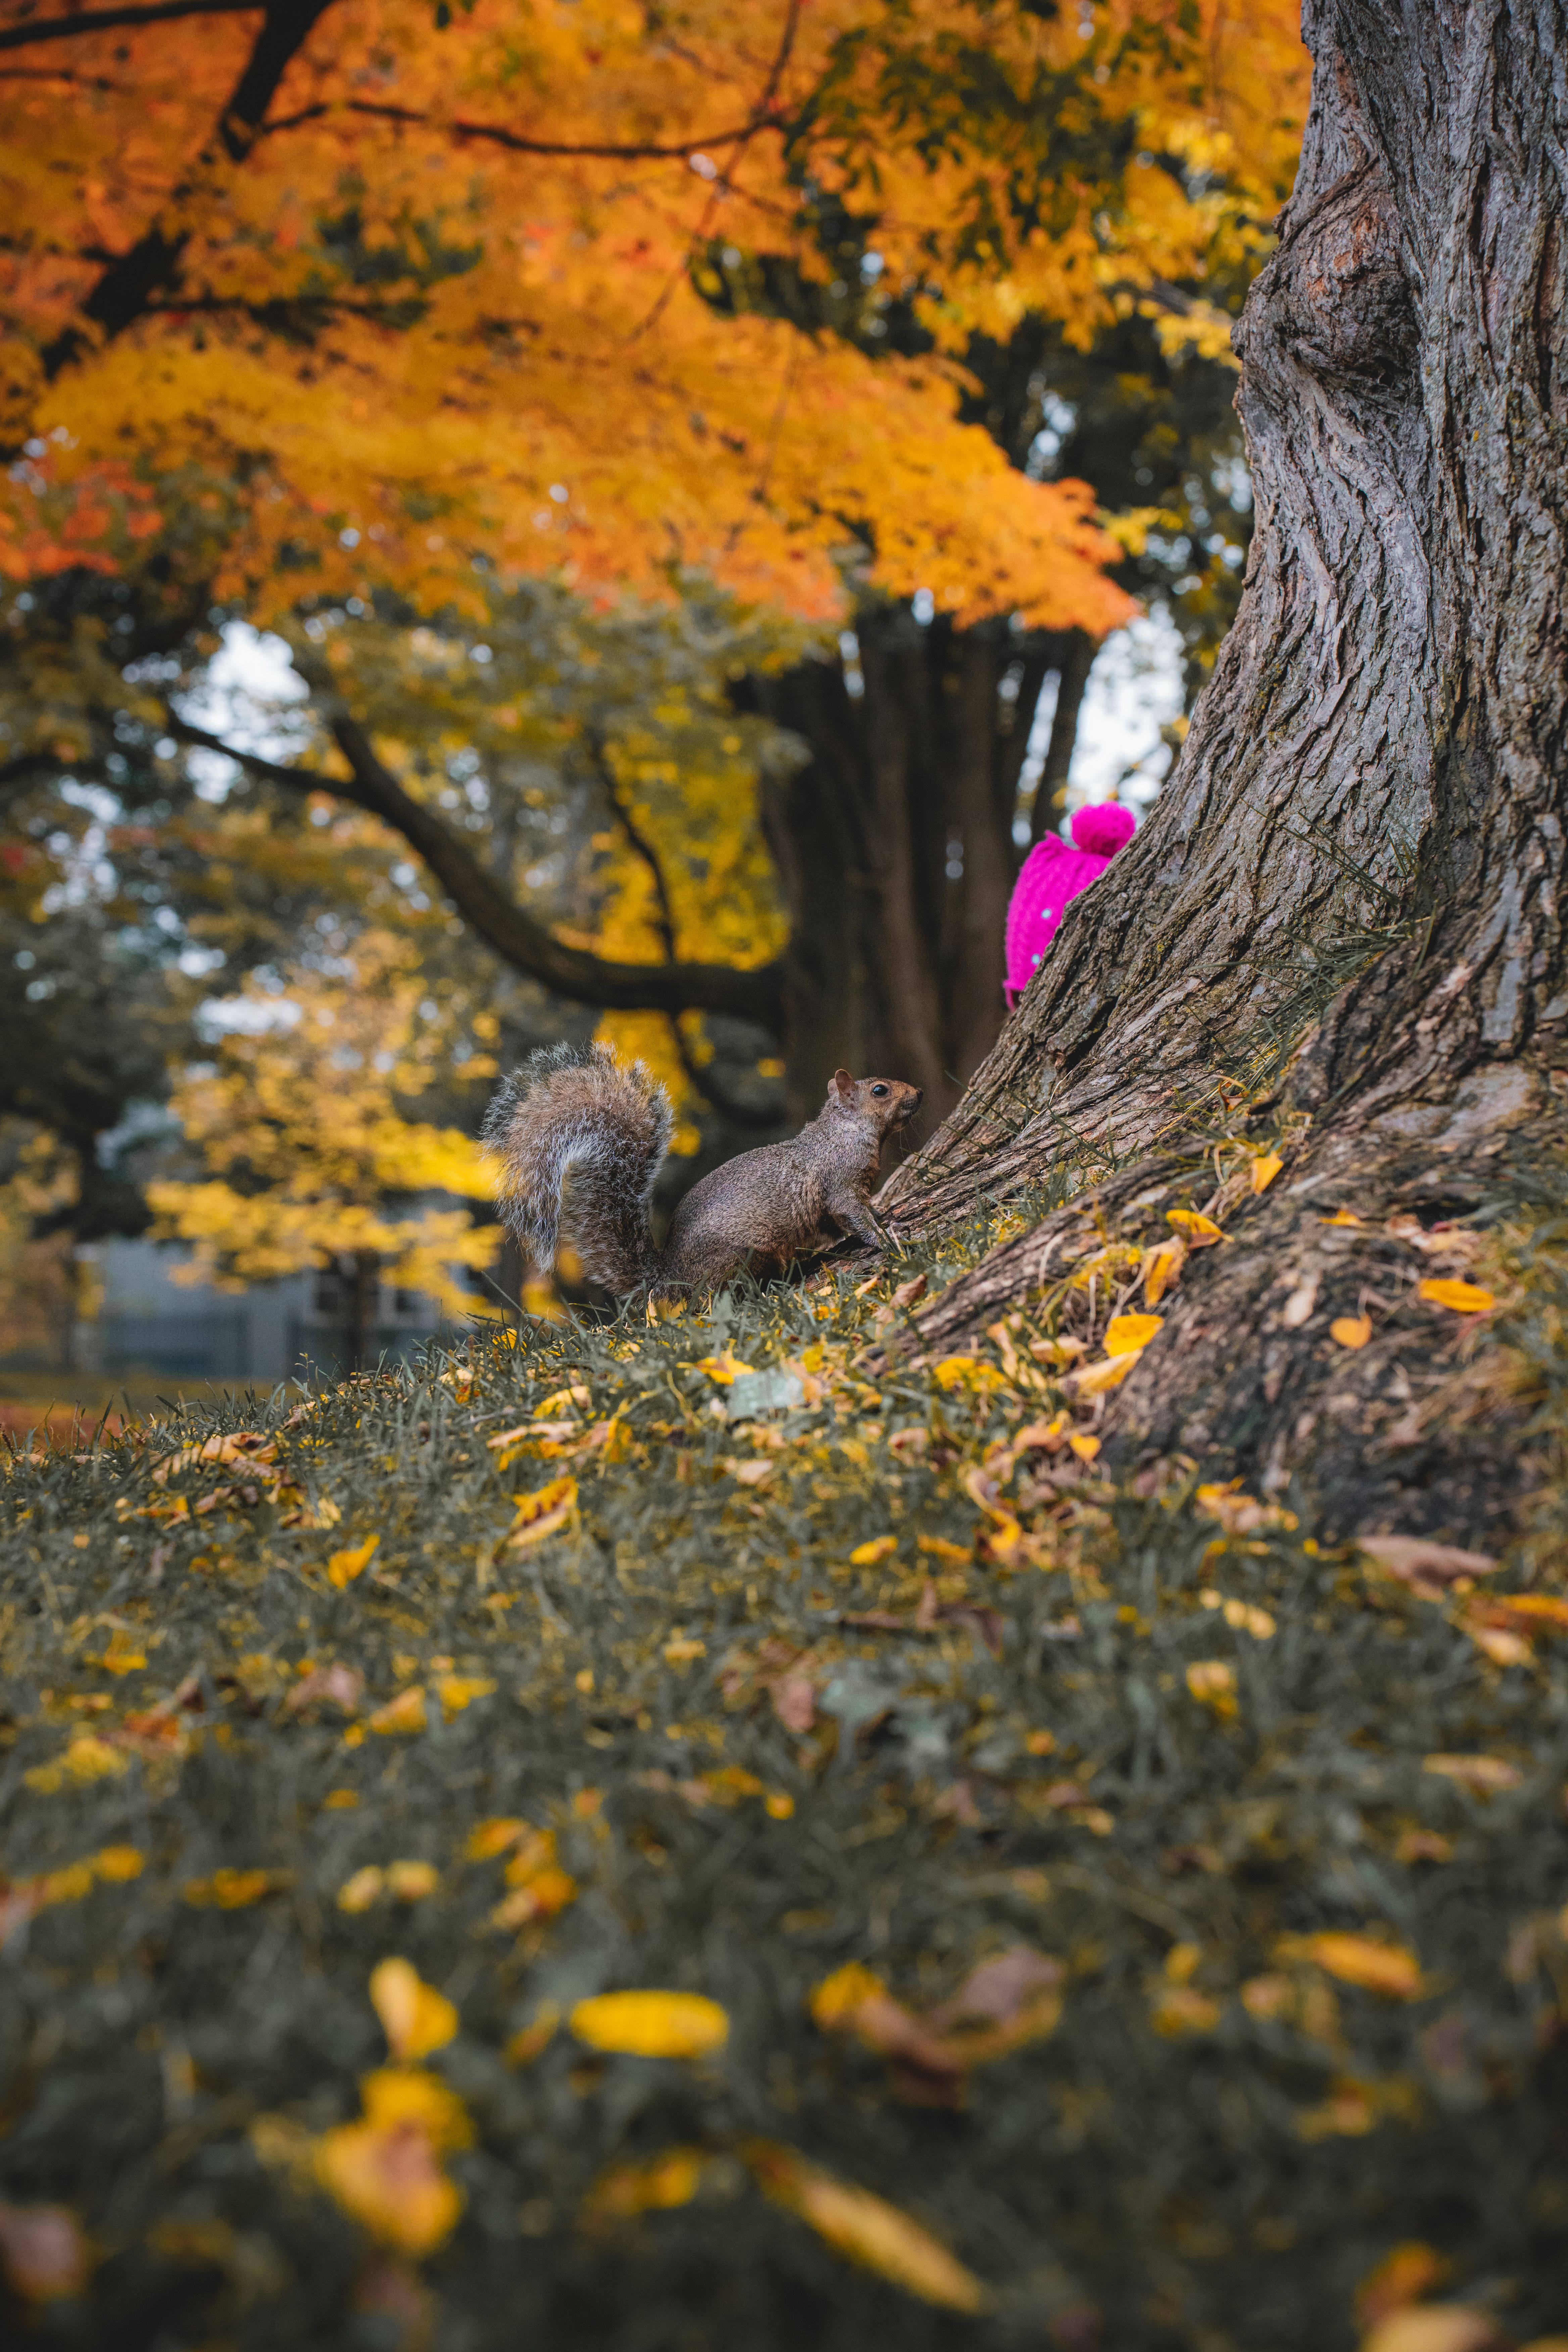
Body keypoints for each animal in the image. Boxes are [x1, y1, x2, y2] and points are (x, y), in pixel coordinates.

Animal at [483, 1042, 923, 1302]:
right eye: (880, 1090)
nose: (919, 1093)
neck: (846, 1132)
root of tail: (670, 1277)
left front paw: (886, 1219)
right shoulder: (840, 1184)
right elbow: (853, 1216)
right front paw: (886, 1238)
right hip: (739, 1255)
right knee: (720, 1296)